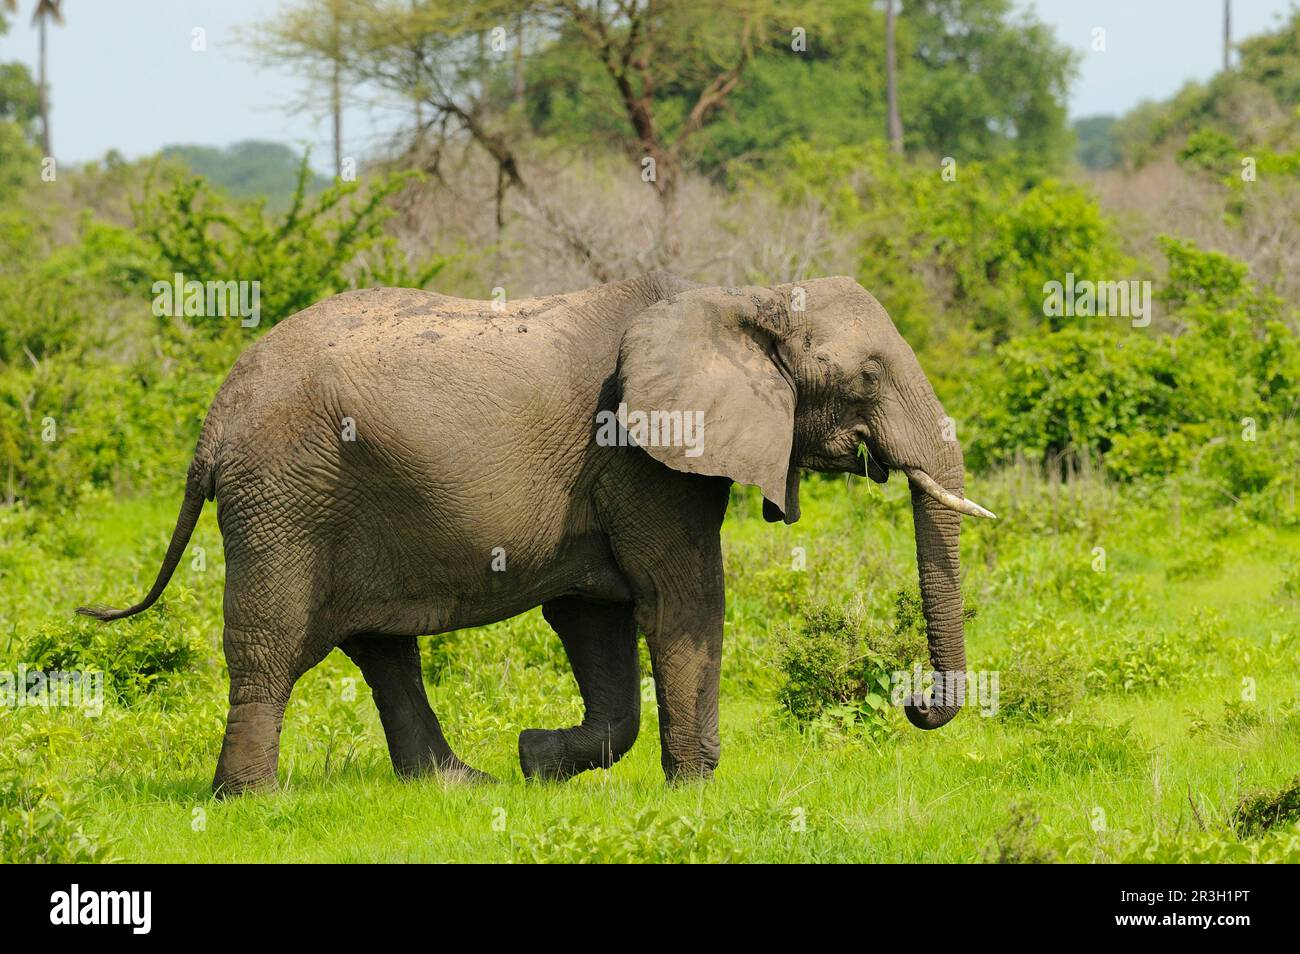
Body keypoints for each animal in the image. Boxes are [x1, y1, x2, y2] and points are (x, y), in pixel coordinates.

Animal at [78, 272, 995, 795]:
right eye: (865, 376)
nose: (912, 703)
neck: (744, 292)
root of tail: (213, 418)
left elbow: (597, 619)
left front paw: (539, 760)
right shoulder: (638, 450)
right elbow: (682, 598)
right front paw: (698, 791)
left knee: (382, 649)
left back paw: (464, 786)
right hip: (283, 496)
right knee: (271, 645)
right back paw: (250, 801)